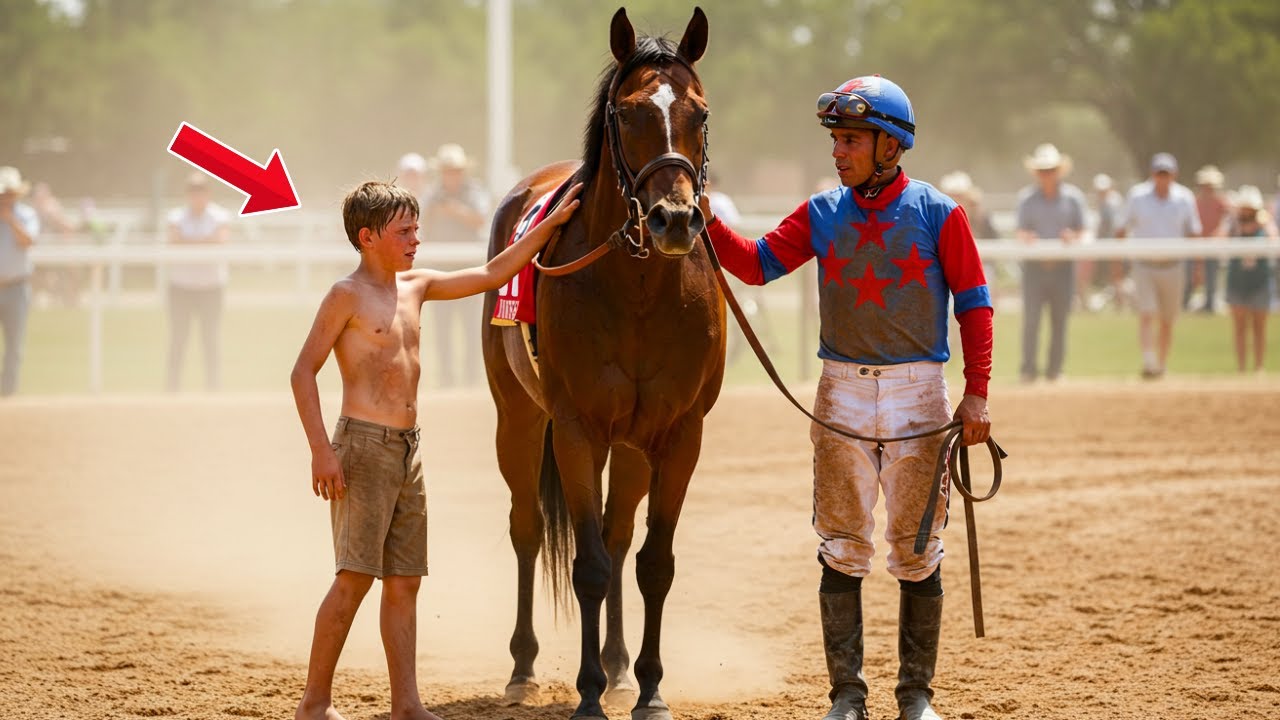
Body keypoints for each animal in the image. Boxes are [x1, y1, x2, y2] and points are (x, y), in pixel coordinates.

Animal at [480, 7, 723, 720]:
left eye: (699, 113)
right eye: (628, 111)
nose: (674, 219)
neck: (638, 290)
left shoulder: (679, 434)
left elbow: (651, 563)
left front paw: (649, 688)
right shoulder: (577, 428)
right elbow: (585, 563)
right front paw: (586, 693)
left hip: (633, 444)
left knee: (618, 537)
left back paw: (617, 667)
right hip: (519, 420)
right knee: (528, 528)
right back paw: (525, 668)